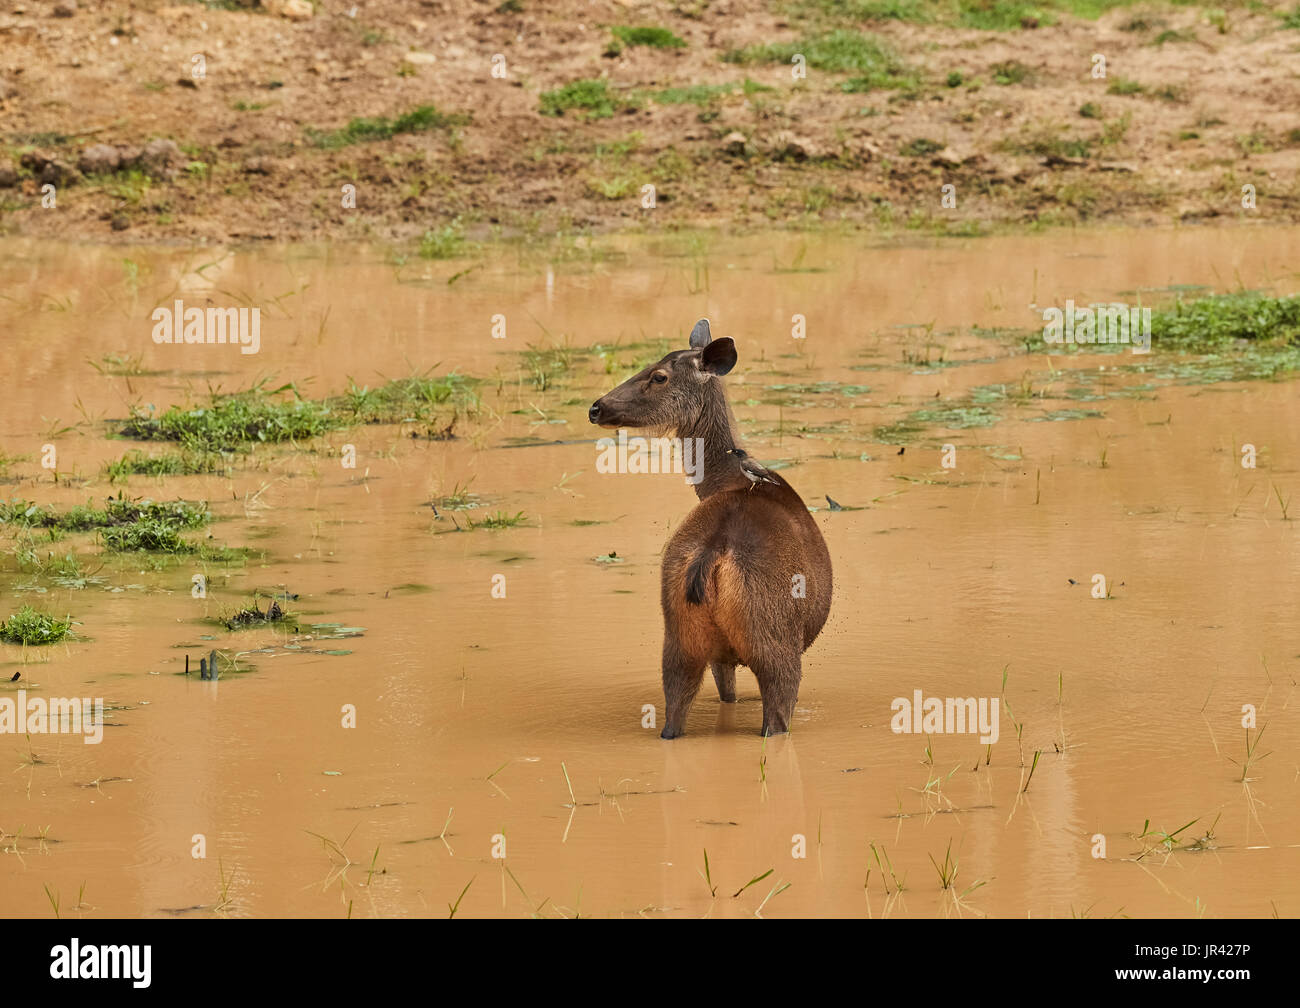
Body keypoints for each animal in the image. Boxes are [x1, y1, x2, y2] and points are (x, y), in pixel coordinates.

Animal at [588, 319, 833, 738]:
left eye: (658, 375)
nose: (596, 407)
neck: (725, 480)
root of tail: (714, 553)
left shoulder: (720, 656)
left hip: (679, 642)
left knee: (673, 715)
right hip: (776, 639)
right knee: (776, 716)